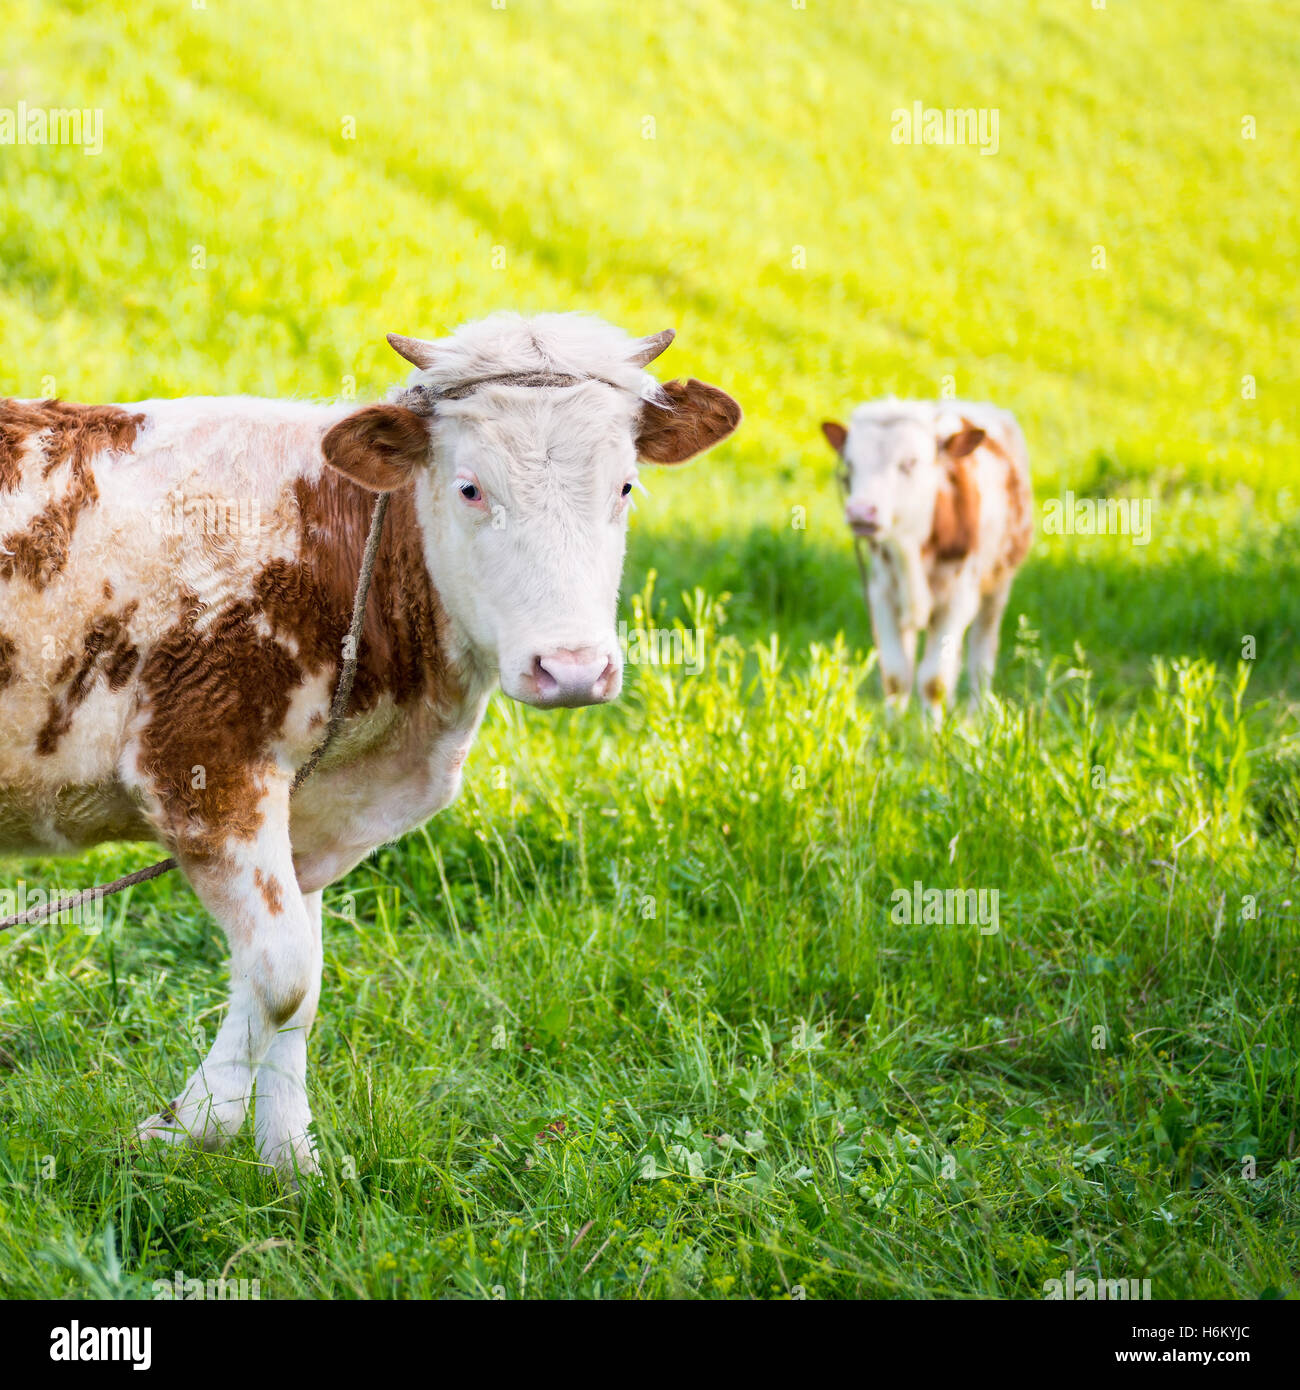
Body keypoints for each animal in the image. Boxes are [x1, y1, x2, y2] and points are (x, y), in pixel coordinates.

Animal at [0, 313, 741, 1178]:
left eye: (624, 487)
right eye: (470, 487)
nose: (572, 669)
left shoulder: (309, 810)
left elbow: (296, 990)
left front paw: (291, 1165)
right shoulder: (201, 764)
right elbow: (284, 974)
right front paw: (193, 1128)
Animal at [820, 400, 1032, 719]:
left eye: (909, 463)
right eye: (851, 464)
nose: (861, 512)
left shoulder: (958, 599)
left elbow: (934, 681)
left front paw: (933, 731)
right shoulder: (882, 595)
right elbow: (896, 676)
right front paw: (892, 728)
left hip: (997, 585)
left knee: (981, 650)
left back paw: (976, 716)